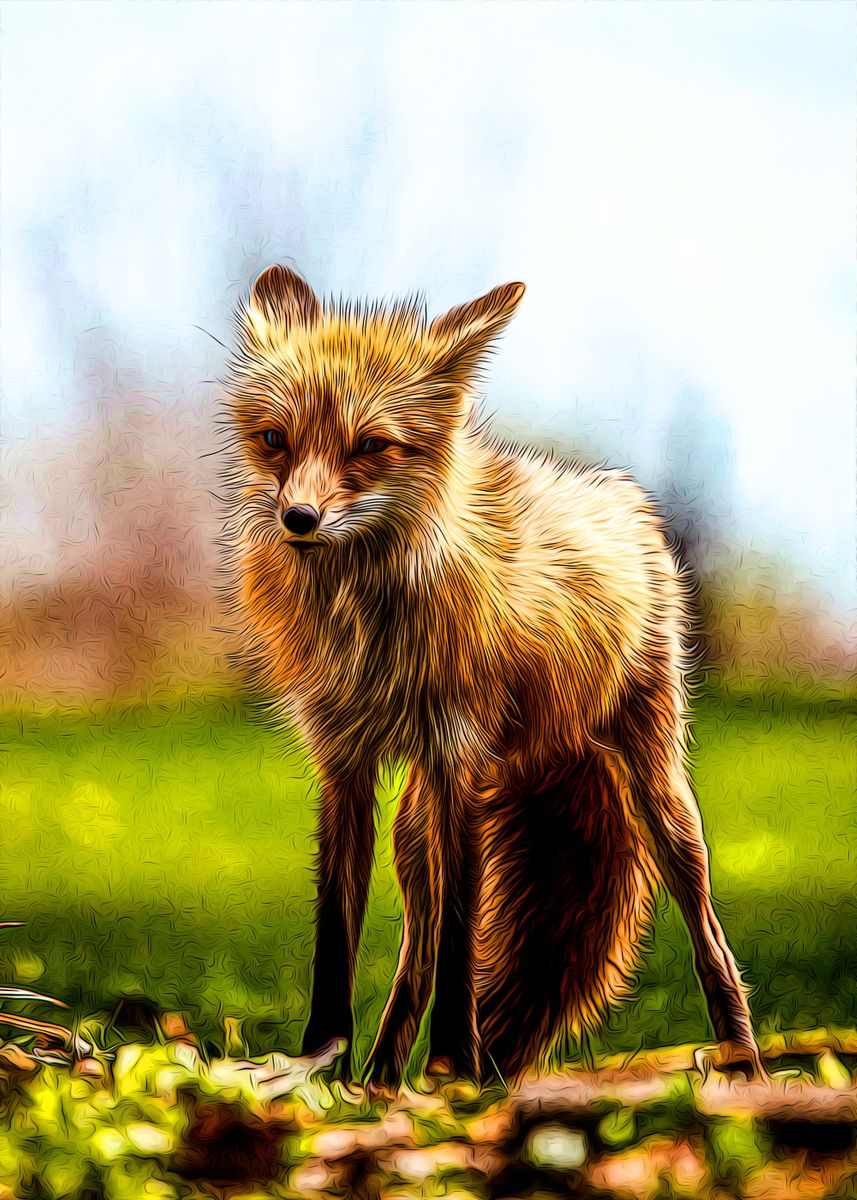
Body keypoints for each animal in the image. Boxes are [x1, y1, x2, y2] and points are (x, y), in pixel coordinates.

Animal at [221, 263, 762, 1088]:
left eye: (370, 446)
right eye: (274, 439)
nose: (299, 519)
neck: (367, 622)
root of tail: (618, 493)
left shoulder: (458, 761)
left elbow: (460, 943)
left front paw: (453, 1064)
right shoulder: (344, 763)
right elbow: (337, 940)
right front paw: (321, 1062)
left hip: (660, 796)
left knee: (711, 941)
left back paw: (746, 1064)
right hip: (415, 832)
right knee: (412, 953)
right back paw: (378, 1080)